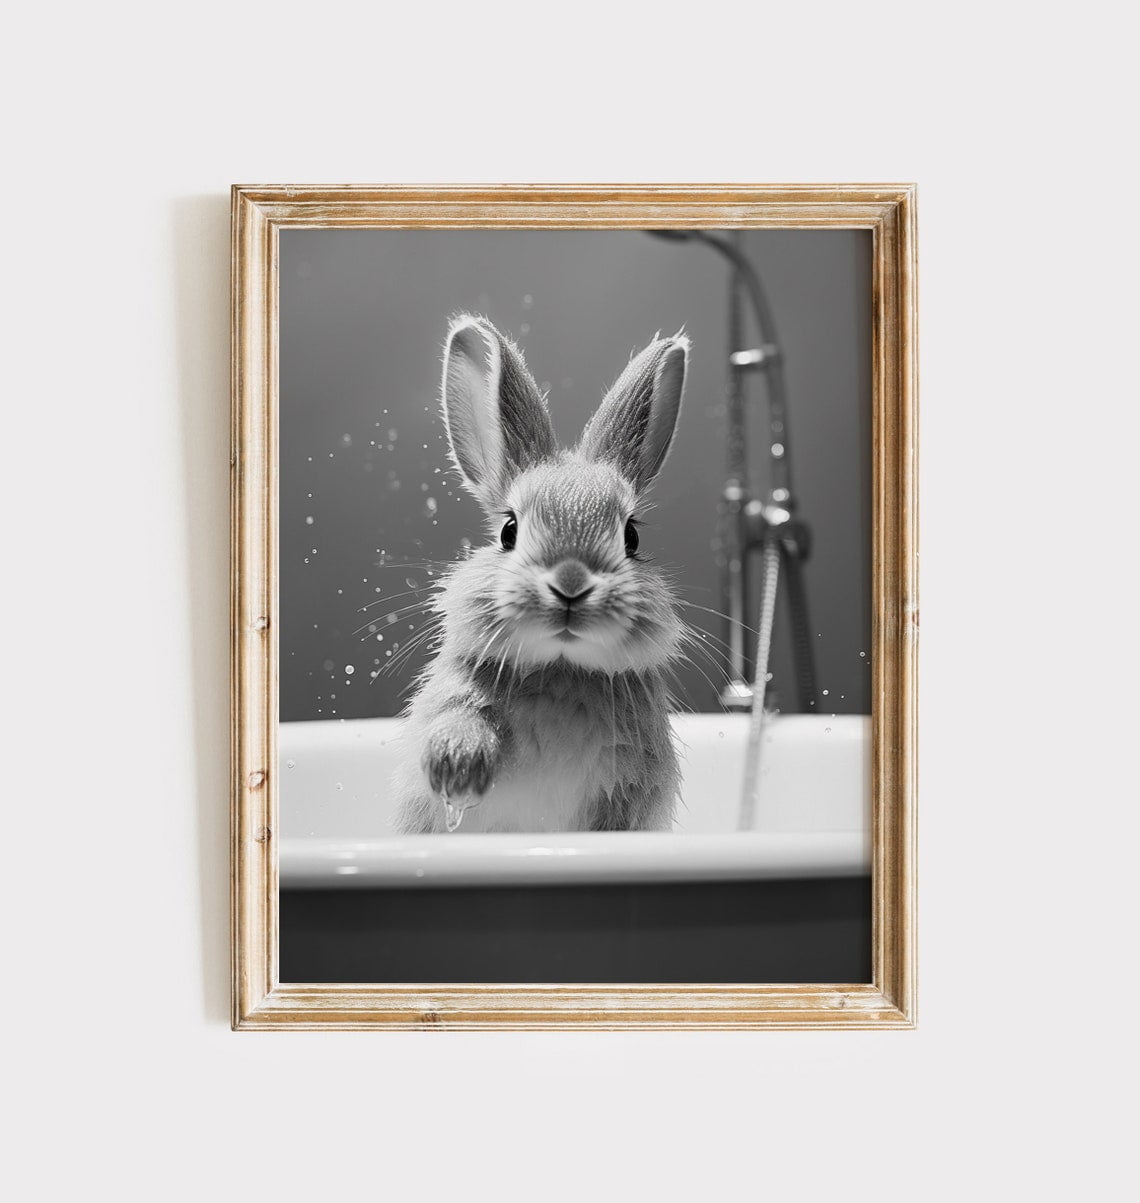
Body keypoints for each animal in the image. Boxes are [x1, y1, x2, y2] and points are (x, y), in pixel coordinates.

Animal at [391, 314, 689, 834]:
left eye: (631, 537)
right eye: (508, 531)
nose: (570, 585)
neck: (559, 667)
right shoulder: (457, 699)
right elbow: (460, 724)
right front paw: (459, 774)